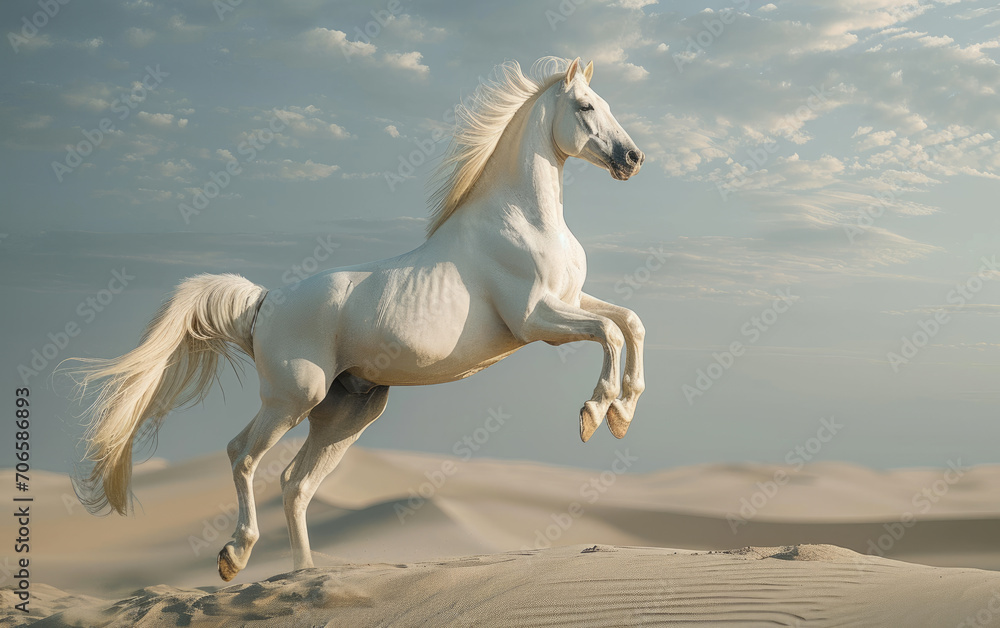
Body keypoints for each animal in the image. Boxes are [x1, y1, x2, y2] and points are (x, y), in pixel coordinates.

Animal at [69, 56, 646, 582]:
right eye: (586, 106)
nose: (633, 157)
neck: (521, 220)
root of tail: (265, 302)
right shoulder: (535, 321)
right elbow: (609, 332)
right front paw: (596, 414)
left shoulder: (570, 299)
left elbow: (629, 322)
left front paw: (623, 412)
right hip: (292, 398)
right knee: (242, 456)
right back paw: (235, 555)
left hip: (346, 412)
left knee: (296, 484)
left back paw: (303, 573)